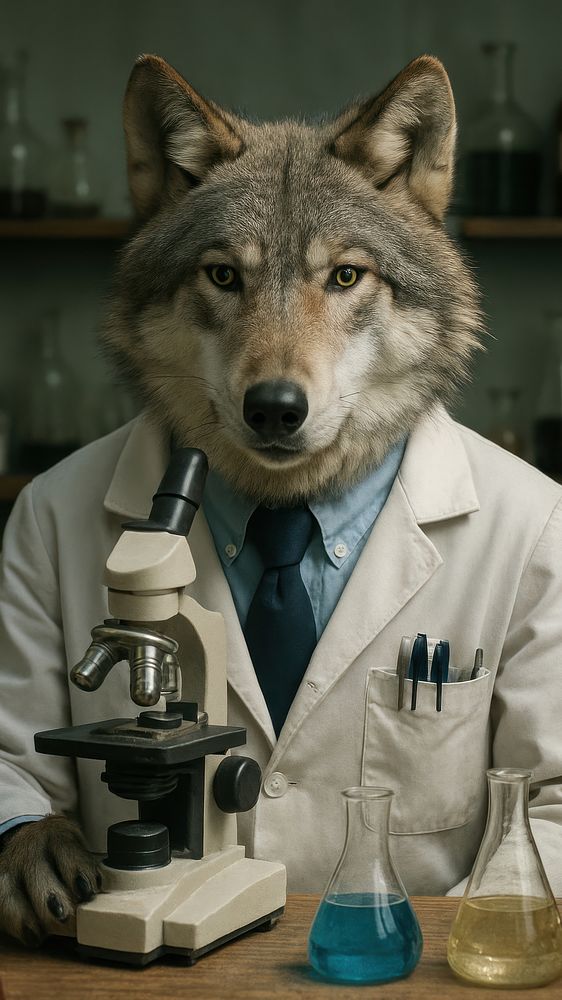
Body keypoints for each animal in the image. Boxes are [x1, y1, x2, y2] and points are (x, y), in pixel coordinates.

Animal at [0, 52, 484, 944]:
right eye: (224, 275)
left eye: (346, 276)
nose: (276, 408)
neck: (288, 506)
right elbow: (18, 753)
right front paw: (40, 850)